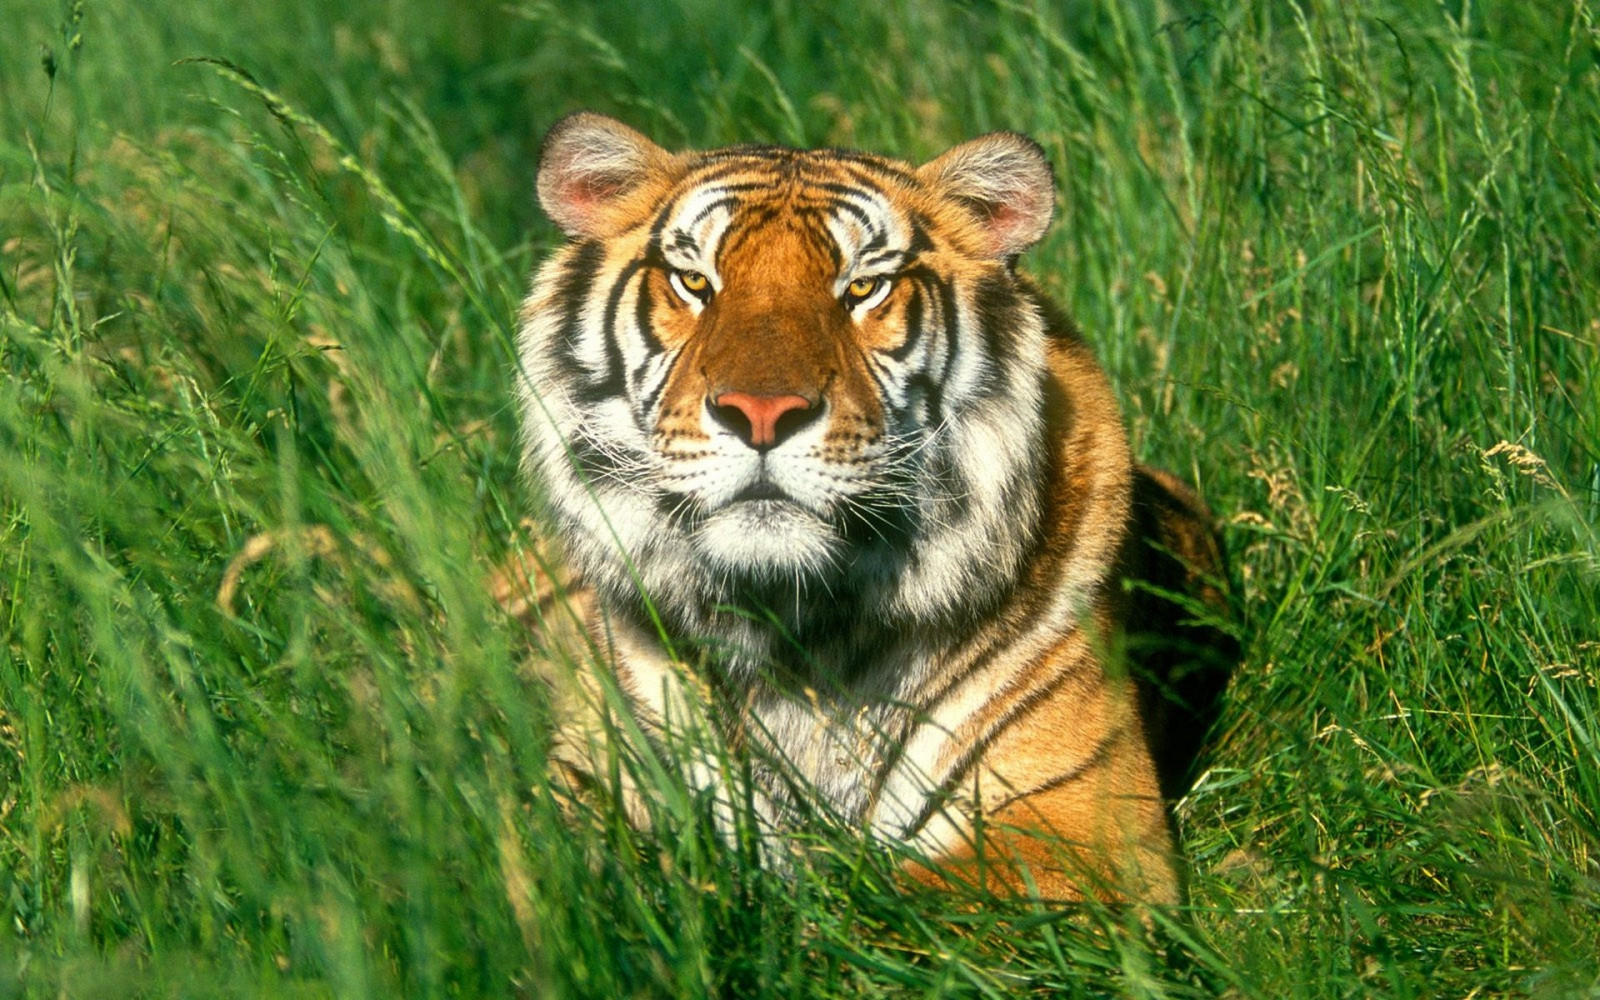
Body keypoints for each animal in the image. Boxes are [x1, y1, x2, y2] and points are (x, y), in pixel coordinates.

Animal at [508, 112, 1236, 904]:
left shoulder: (1080, 829)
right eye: (694, 281)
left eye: (863, 288)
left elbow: (880, 910)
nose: (761, 414)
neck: (792, 628)